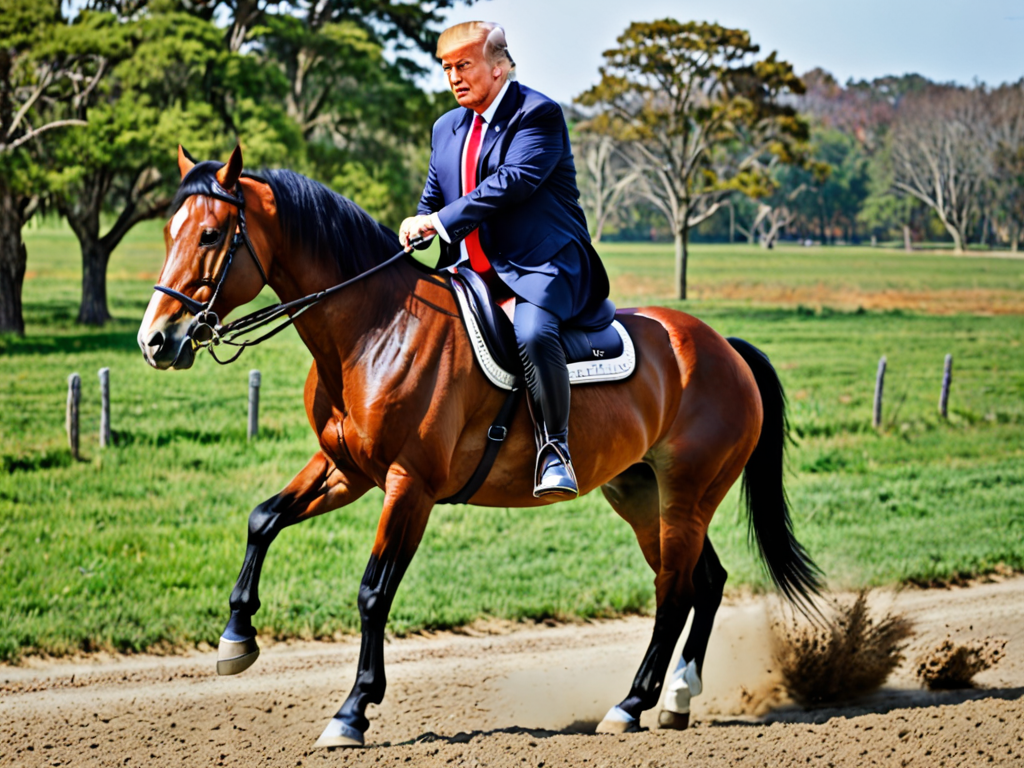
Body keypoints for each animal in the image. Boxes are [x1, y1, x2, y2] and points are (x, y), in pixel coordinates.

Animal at [137, 145, 821, 747]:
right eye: (170, 232)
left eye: (210, 235)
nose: (155, 341)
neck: (375, 327)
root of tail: (725, 347)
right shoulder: (345, 469)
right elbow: (263, 520)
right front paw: (236, 638)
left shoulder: (408, 486)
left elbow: (373, 593)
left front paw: (353, 711)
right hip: (641, 494)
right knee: (705, 579)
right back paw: (676, 697)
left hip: (687, 494)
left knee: (675, 590)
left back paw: (631, 704)